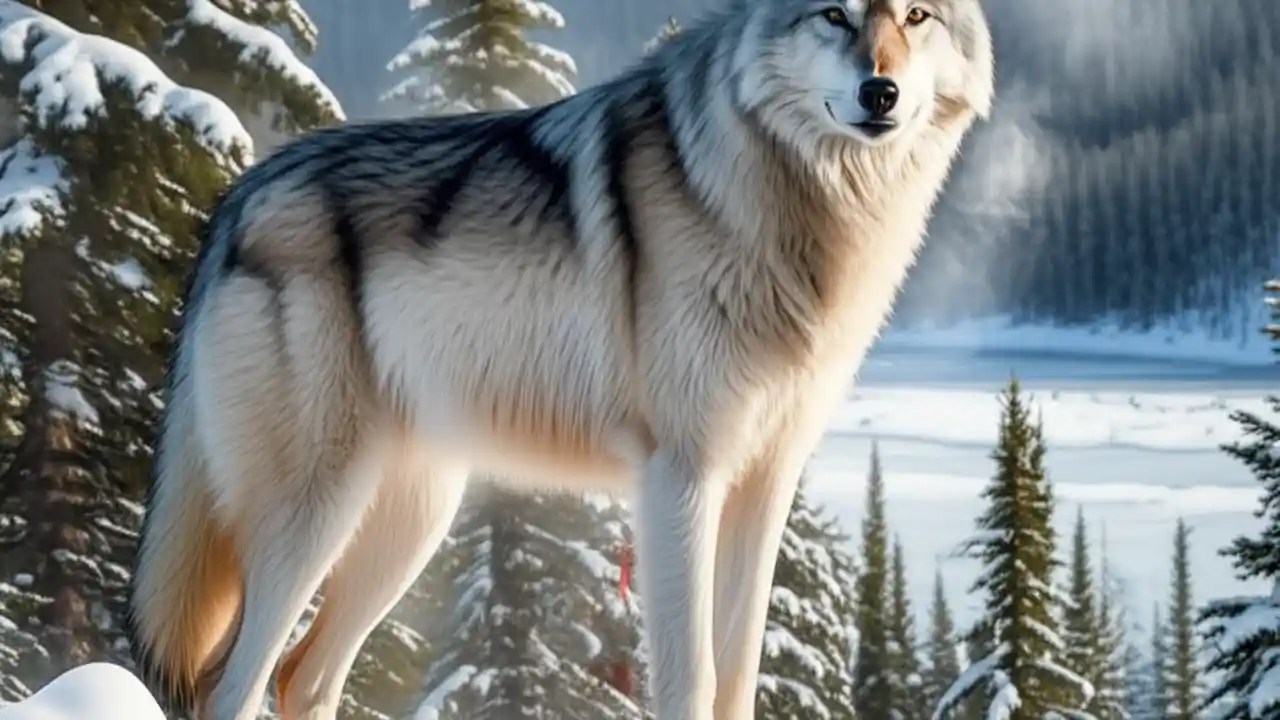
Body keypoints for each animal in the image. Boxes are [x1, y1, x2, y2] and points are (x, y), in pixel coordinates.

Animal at [128, 0, 993, 717]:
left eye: (915, 15)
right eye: (833, 14)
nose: (880, 91)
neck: (800, 207)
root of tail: (240, 193)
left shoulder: (764, 483)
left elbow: (739, 678)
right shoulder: (680, 477)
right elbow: (692, 679)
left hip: (408, 522)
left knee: (301, 677)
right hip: (316, 514)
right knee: (228, 685)